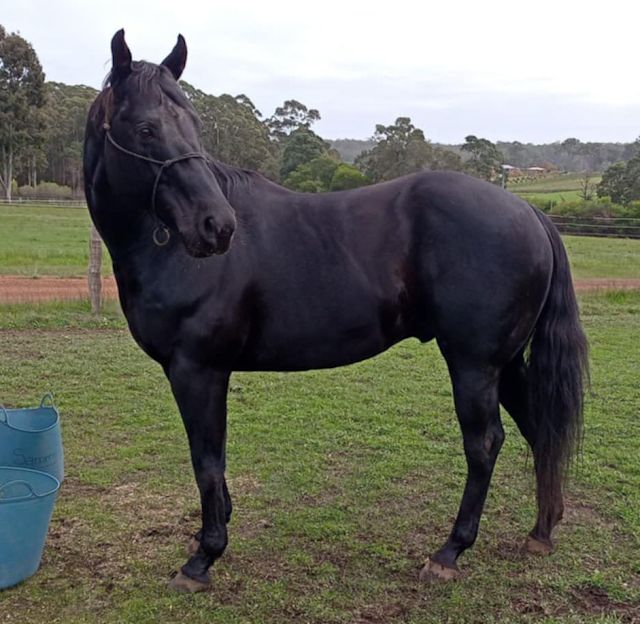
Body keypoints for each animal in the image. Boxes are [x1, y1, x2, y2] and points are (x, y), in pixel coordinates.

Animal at [83, 30, 589, 593]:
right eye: (146, 128)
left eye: (191, 123)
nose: (217, 226)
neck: (167, 247)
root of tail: (528, 210)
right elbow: (211, 464)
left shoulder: (197, 370)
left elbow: (206, 461)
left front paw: (203, 558)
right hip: (507, 363)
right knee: (539, 430)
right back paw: (541, 531)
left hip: (475, 365)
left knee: (484, 444)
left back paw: (450, 551)